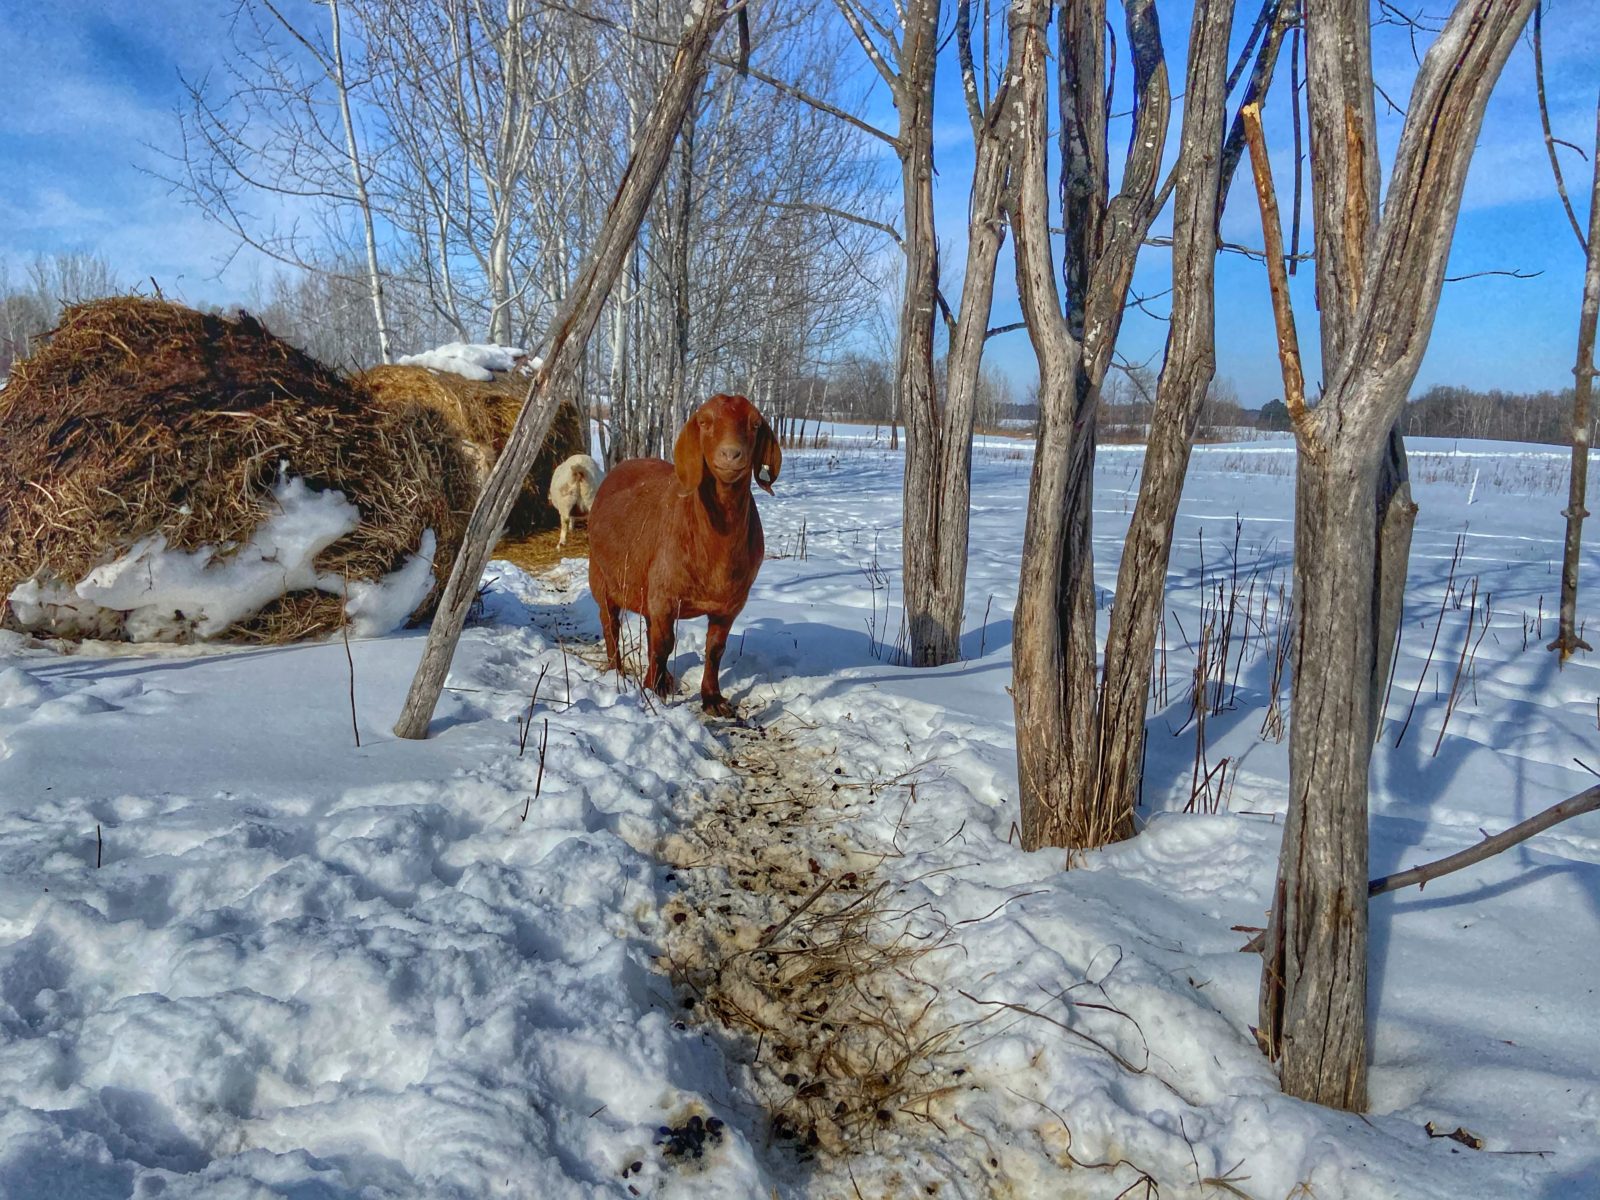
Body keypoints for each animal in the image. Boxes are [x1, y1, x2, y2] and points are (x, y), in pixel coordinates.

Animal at [586, 393, 781, 717]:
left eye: (755, 424)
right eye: (703, 421)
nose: (732, 454)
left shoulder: (729, 605)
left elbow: (714, 650)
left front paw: (713, 699)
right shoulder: (664, 596)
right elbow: (664, 643)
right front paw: (651, 692)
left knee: (648, 630)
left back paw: (663, 679)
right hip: (601, 577)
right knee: (610, 625)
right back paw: (618, 672)